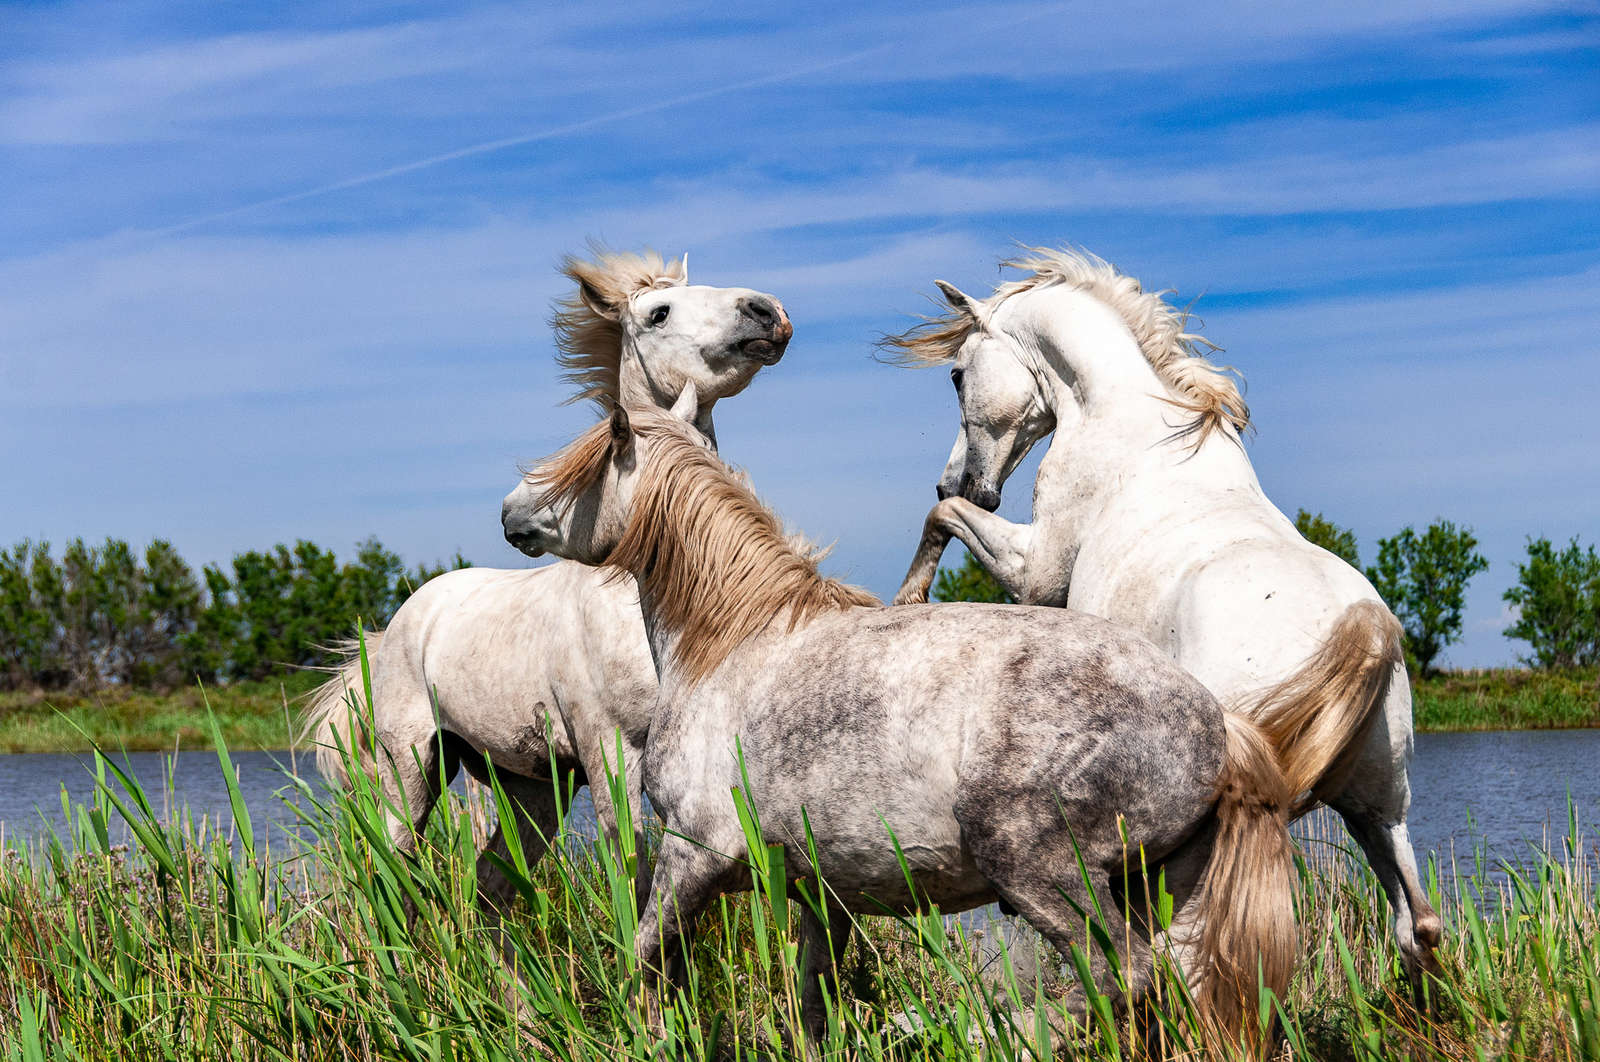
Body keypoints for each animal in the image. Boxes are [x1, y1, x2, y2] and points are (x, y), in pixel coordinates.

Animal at [300, 249, 793, 920]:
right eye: (659, 313)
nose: (767, 312)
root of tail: (395, 627)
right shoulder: (612, 750)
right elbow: (631, 871)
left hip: (532, 786)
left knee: (492, 884)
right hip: (414, 767)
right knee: (393, 868)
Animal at [503, 400, 1352, 1047]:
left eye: (581, 463)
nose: (511, 512)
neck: (730, 646)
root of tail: (1218, 725)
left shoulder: (693, 855)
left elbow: (642, 958)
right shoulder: (823, 893)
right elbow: (814, 1003)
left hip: (1044, 874)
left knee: (1121, 977)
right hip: (1166, 888)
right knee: (1176, 984)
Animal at [886, 247, 1438, 975]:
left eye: (956, 376)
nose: (958, 478)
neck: (1127, 419)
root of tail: (1365, 633)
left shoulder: (1038, 572)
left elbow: (943, 519)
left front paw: (908, 599)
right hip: (1378, 807)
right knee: (1416, 925)